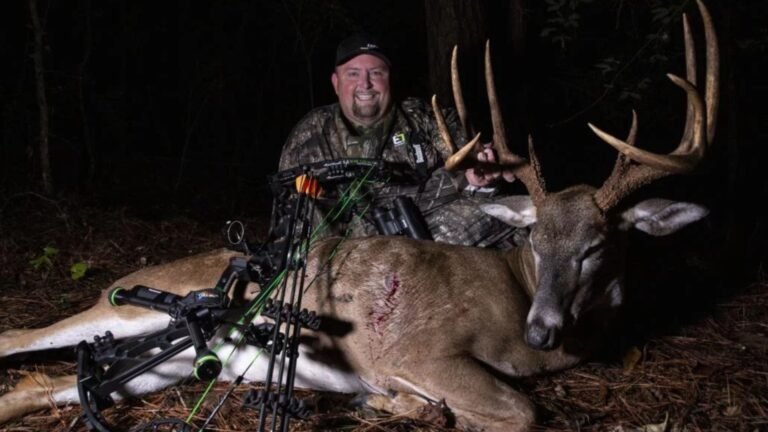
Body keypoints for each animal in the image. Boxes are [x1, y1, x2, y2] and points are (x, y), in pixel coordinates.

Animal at [0, 1, 717, 431]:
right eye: (536, 239)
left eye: (597, 246)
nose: (542, 330)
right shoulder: (423, 350)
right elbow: (519, 411)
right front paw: (392, 396)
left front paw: (389, 401)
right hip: (130, 308)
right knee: (18, 339)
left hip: (172, 363)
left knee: (44, 384)